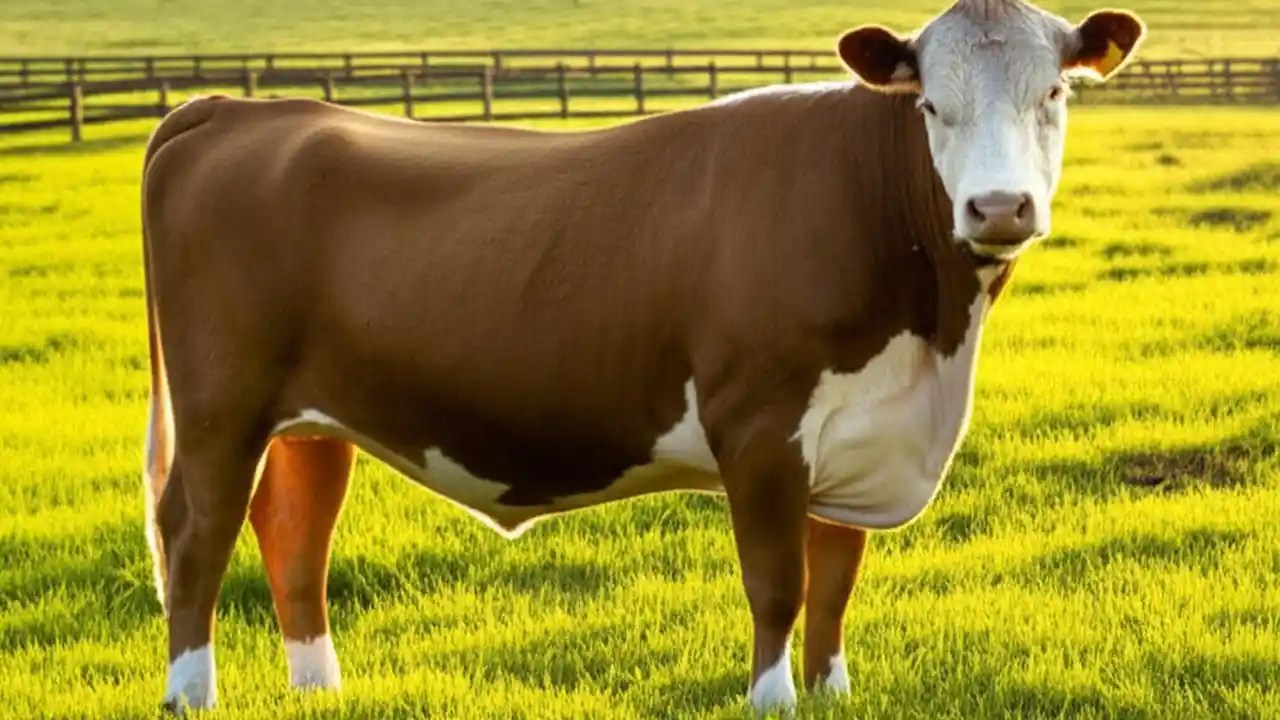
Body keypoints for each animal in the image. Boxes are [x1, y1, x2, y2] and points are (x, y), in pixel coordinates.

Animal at [140, 0, 1144, 713]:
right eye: (934, 104)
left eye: (1054, 94)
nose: (1000, 207)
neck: (930, 344)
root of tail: (239, 107)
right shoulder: (760, 426)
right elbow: (778, 585)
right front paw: (774, 701)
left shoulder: (861, 429)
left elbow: (834, 584)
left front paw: (833, 692)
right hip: (220, 408)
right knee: (195, 534)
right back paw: (190, 696)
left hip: (312, 418)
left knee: (293, 535)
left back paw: (320, 690)